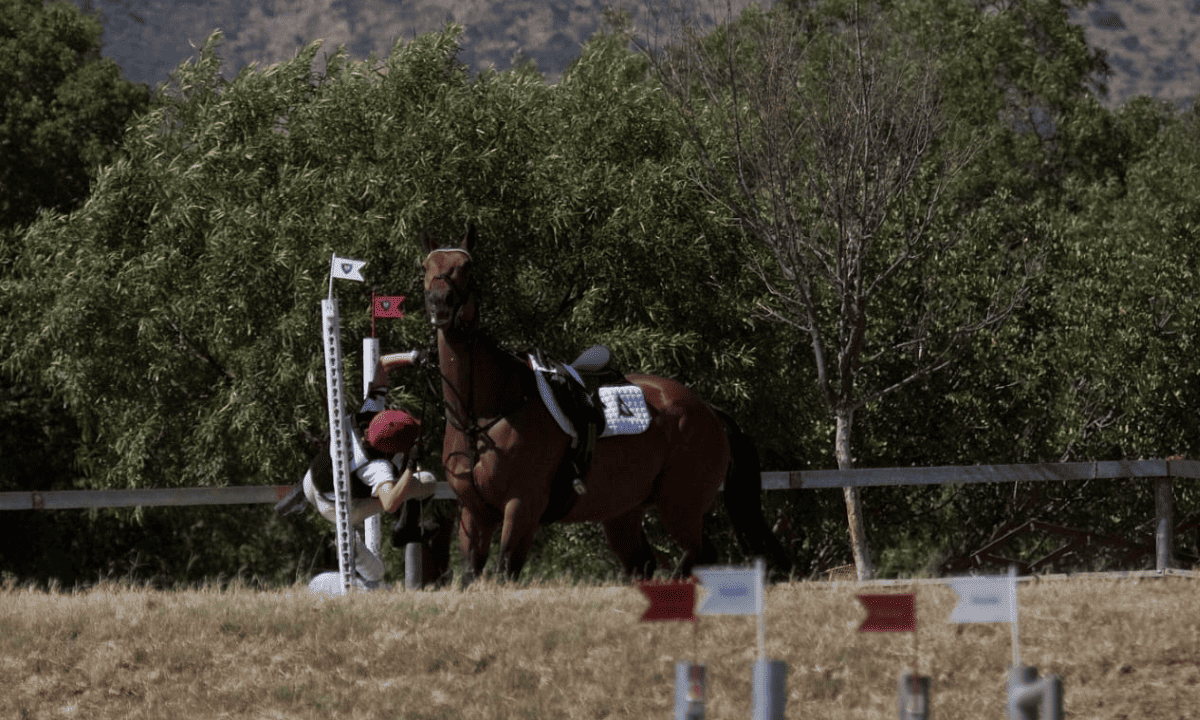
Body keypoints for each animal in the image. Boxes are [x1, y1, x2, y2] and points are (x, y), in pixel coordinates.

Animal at [421, 226, 794, 581]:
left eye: (466, 267)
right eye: (426, 266)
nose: (439, 303)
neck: (485, 413)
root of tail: (708, 412)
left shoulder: (522, 507)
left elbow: (504, 572)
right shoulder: (474, 515)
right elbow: (472, 575)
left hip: (679, 507)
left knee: (701, 555)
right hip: (624, 514)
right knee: (645, 563)